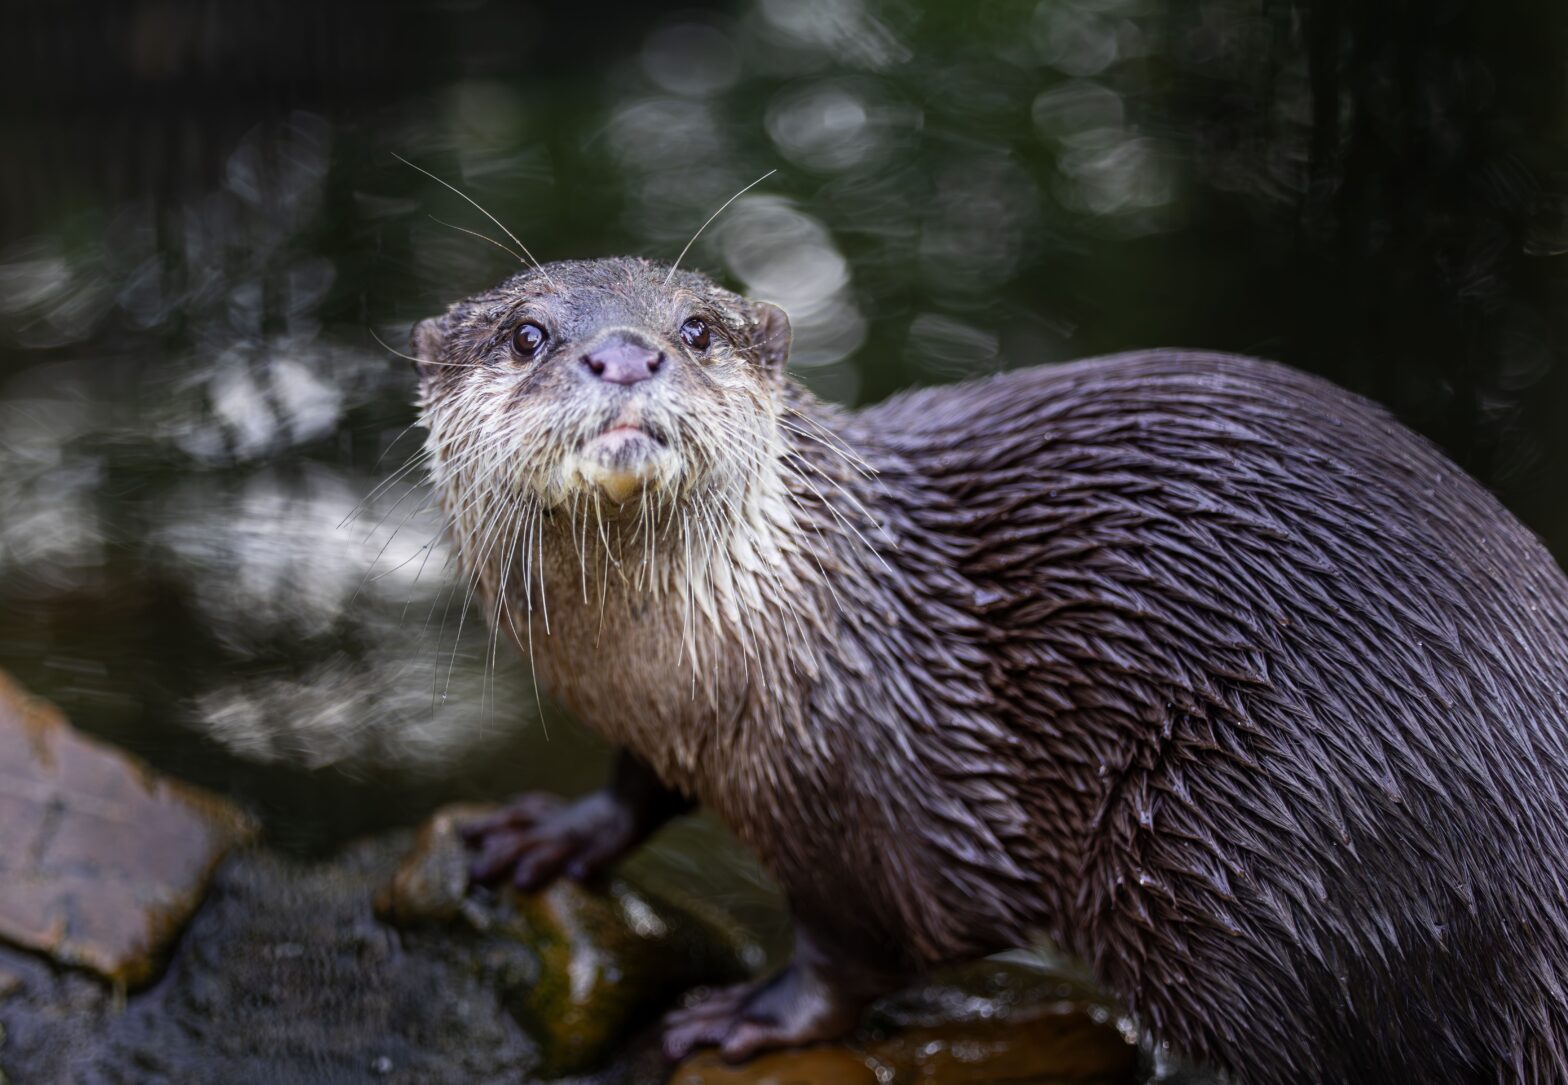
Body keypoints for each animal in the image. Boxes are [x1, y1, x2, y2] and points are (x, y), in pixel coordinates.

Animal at [412, 256, 1568, 1083]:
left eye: (693, 328)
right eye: (526, 334)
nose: (623, 356)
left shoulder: (886, 786)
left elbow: (864, 940)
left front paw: (754, 1015)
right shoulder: (656, 719)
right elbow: (638, 782)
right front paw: (553, 833)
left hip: (1255, 844)